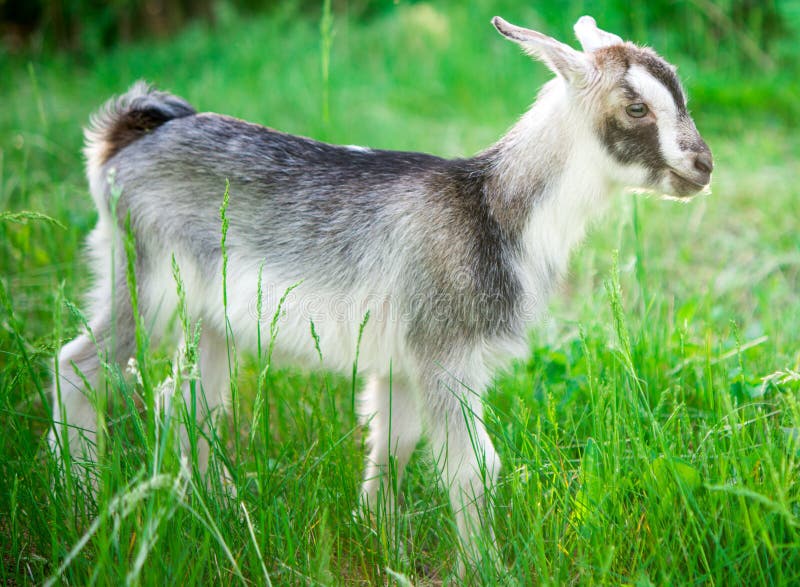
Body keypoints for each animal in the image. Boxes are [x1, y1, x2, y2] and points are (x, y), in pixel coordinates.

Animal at [50, 14, 712, 569]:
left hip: (209, 320)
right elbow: (472, 468)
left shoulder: (400, 363)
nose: (703, 165)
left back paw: (224, 514)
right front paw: (484, 569)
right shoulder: (445, 352)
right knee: (79, 366)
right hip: (142, 278)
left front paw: (378, 539)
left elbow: (394, 444)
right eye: (635, 106)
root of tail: (127, 137)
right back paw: (81, 499)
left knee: (191, 401)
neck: (490, 209)